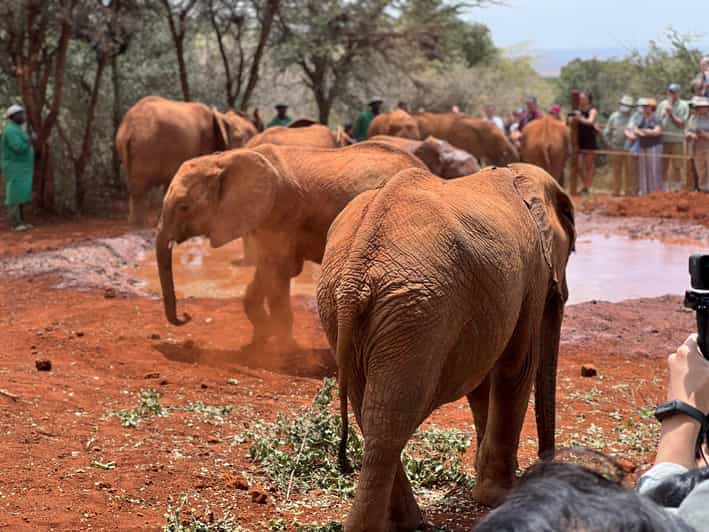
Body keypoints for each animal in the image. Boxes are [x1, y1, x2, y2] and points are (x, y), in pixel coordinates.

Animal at [116, 96, 259, 224]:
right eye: (240, 138)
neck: (221, 116)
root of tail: (128, 129)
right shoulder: (205, 142)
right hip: (146, 148)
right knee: (139, 189)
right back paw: (138, 225)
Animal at [156, 142, 426, 350]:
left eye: (183, 206)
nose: (185, 317)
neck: (224, 158)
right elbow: (265, 275)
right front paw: (257, 345)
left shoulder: (280, 213)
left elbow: (278, 274)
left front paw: (283, 350)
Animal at [317, 163, 575, 531]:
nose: (546, 470)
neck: (517, 174)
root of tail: (355, 270)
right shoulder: (533, 273)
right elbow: (516, 365)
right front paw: (497, 499)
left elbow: (484, 377)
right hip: (416, 312)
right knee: (390, 418)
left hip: (349, 308)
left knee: (367, 408)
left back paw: (406, 521)